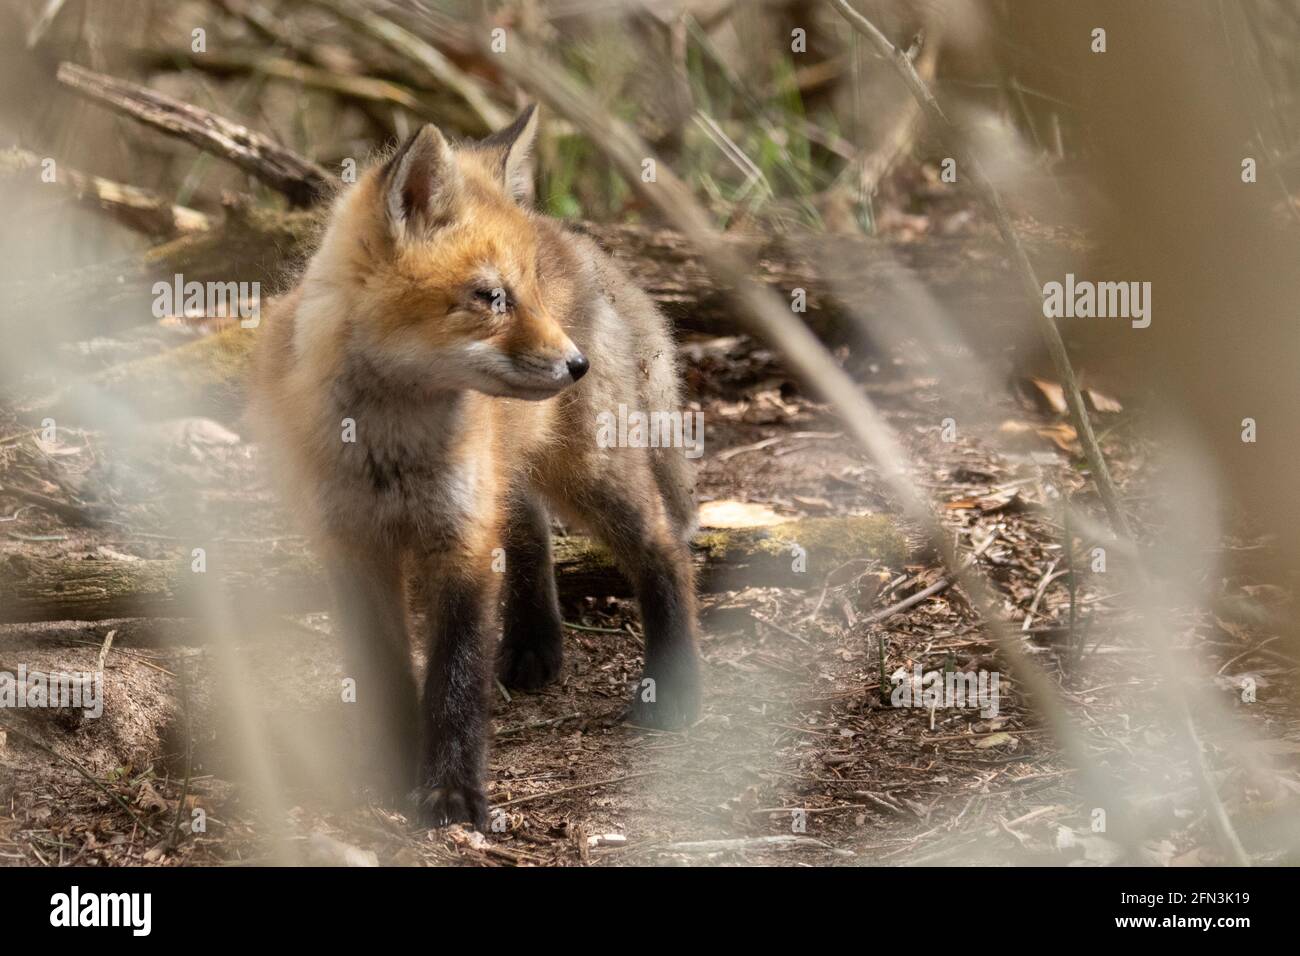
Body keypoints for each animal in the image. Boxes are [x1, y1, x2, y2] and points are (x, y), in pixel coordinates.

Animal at [249, 105, 700, 829]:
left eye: (531, 292)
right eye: (491, 297)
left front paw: (451, 793)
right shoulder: (351, 543)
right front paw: (390, 768)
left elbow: (455, 677)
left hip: (590, 472)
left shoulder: (458, 538)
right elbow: (382, 671)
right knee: (531, 527)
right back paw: (534, 643)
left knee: (663, 545)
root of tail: (577, 239)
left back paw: (676, 683)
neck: (387, 447)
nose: (576, 364)